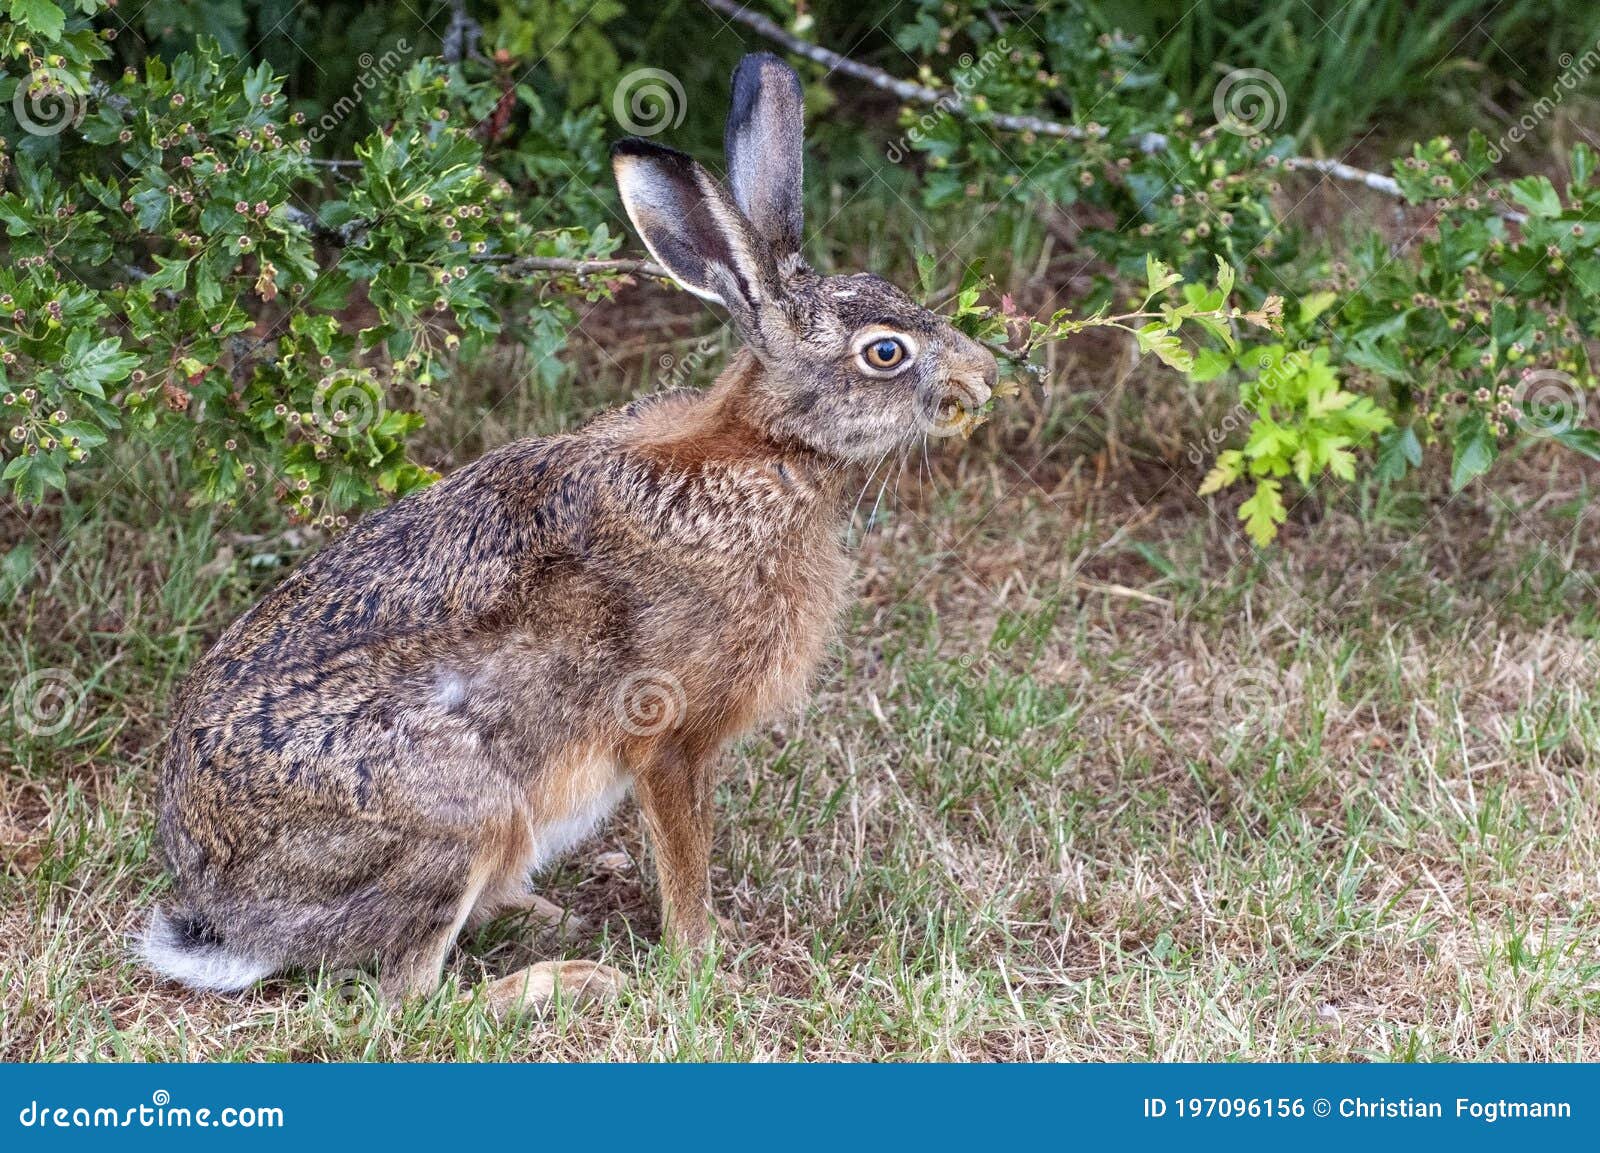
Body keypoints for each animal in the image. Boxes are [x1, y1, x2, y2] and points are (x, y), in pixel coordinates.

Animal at [139, 51, 997, 1014]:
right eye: (885, 352)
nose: (984, 379)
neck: (768, 450)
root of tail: (230, 919)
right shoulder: (668, 735)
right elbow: (685, 856)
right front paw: (702, 961)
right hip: (458, 812)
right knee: (411, 998)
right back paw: (569, 977)